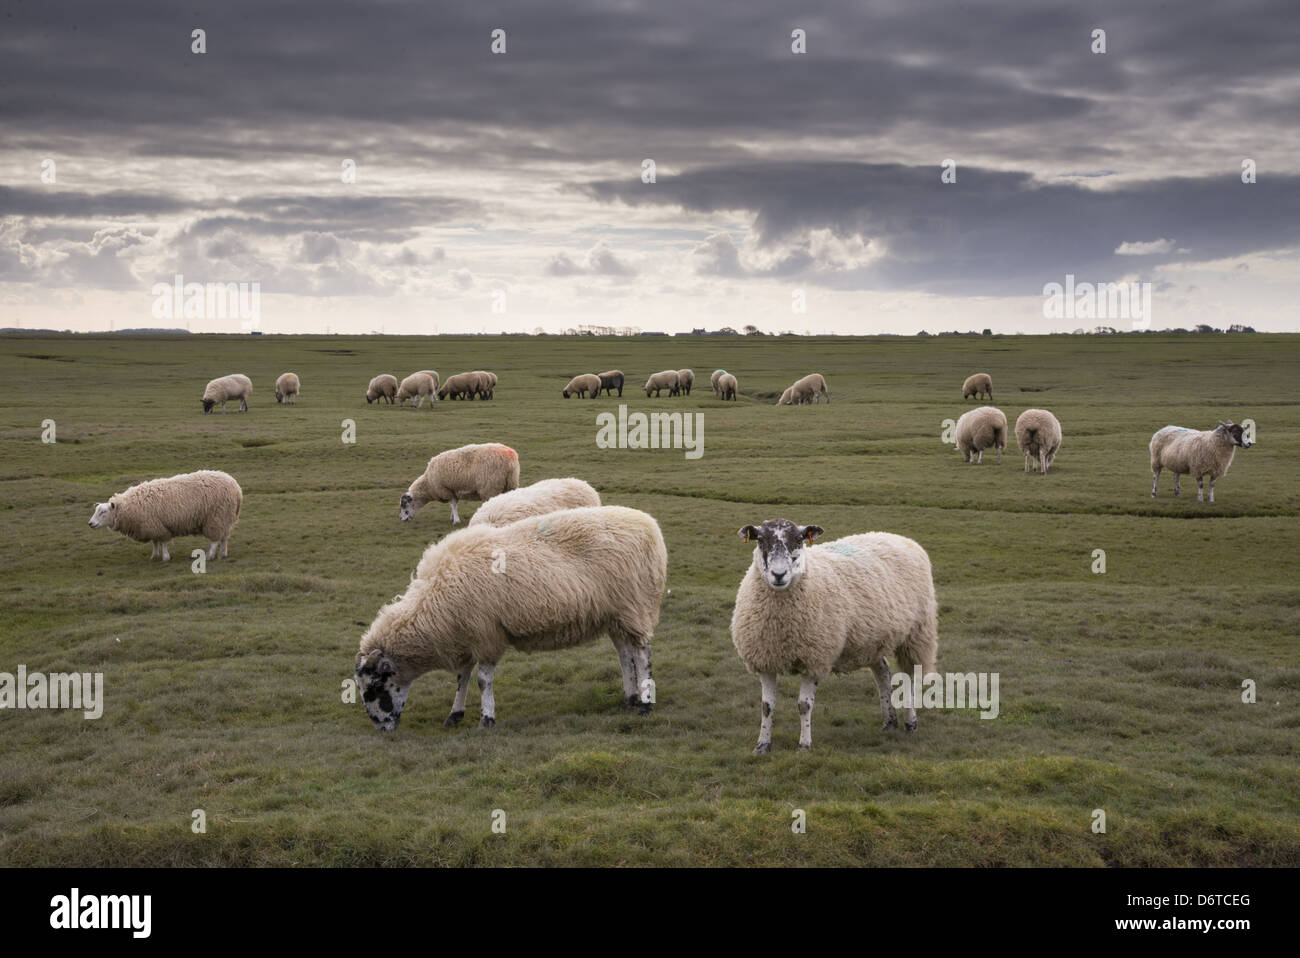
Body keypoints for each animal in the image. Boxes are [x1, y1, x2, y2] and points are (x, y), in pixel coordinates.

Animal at [87, 470, 242, 563]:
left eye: (103, 512)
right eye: (96, 510)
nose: (90, 524)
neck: (129, 506)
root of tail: (237, 488)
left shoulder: (157, 526)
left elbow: (163, 542)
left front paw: (165, 557)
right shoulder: (151, 526)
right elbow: (155, 542)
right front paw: (154, 556)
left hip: (216, 517)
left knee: (215, 540)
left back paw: (210, 555)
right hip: (224, 518)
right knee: (224, 537)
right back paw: (222, 554)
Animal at [355, 505, 667, 730]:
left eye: (374, 687)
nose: (382, 728)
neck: (431, 605)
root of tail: (649, 525)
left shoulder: (486, 635)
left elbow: (482, 681)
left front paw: (486, 719)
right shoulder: (467, 637)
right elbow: (462, 678)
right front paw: (455, 714)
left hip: (635, 605)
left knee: (641, 654)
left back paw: (645, 704)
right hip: (615, 614)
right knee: (624, 654)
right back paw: (629, 698)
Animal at [730, 519, 939, 752]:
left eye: (799, 540)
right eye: (760, 540)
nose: (779, 574)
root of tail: (898, 537)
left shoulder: (815, 658)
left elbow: (804, 705)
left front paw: (804, 745)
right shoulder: (765, 659)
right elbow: (766, 707)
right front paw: (762, 745)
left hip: (916, 633)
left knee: (910, 676)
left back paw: (910, 723)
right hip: (872, 640)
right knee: (883, 672)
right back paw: (889, 721)